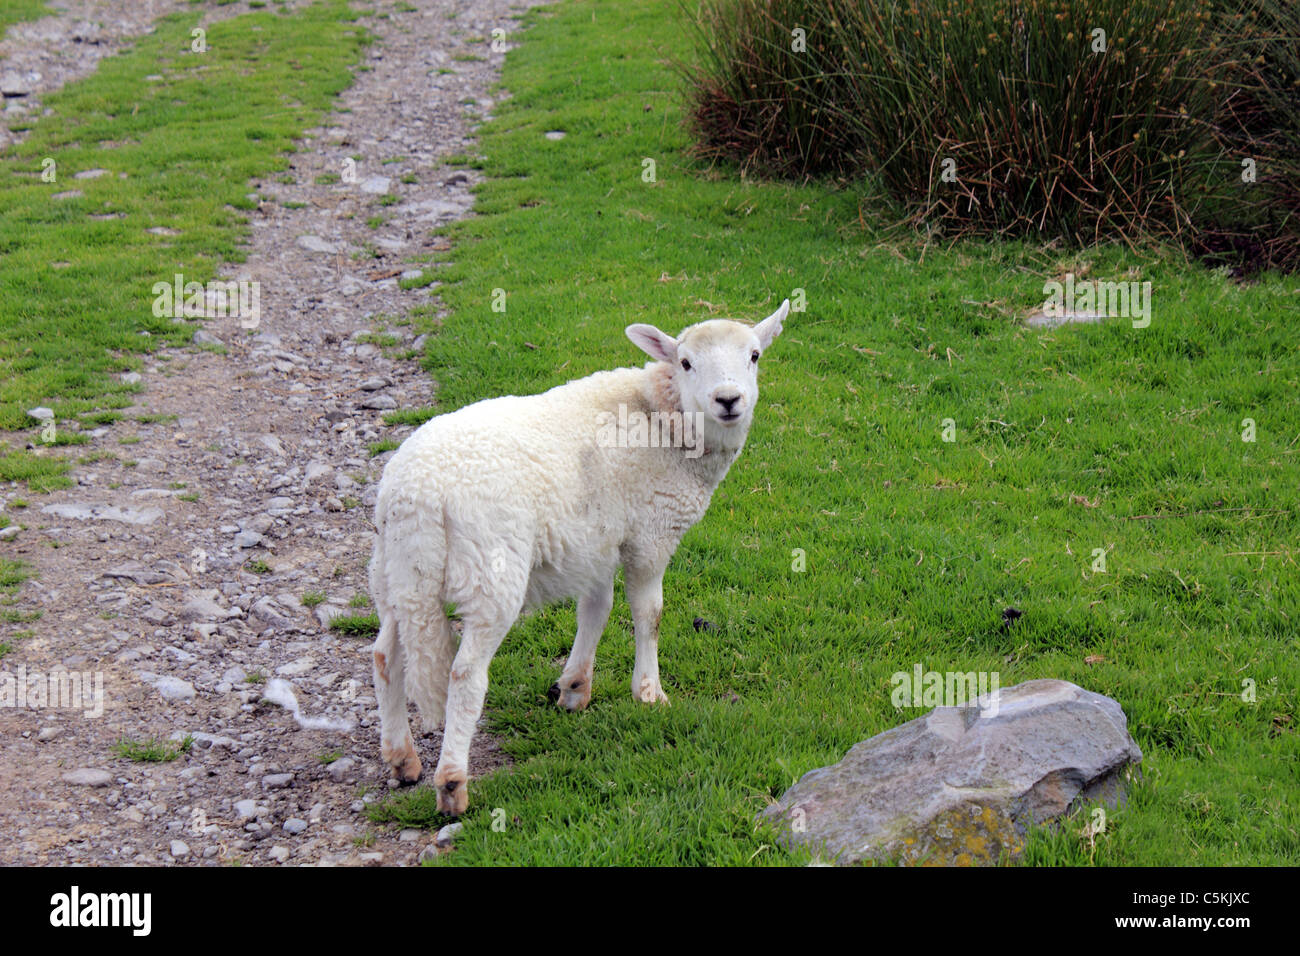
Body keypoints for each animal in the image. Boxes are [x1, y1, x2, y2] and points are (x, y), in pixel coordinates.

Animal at [368, 299, 790, 814]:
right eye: (686, 362)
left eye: (754, 356)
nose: (729, 400)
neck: (664, 421)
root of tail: (417, 493)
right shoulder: (649, 535)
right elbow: (649, 613)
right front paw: (648, 692)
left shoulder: (596, 541)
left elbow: (596, 609)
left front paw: (574, 688)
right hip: (489, 574)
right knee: (465, 675)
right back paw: (451, 783)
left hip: (396, 574)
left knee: (386, 656)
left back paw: (401, 759)